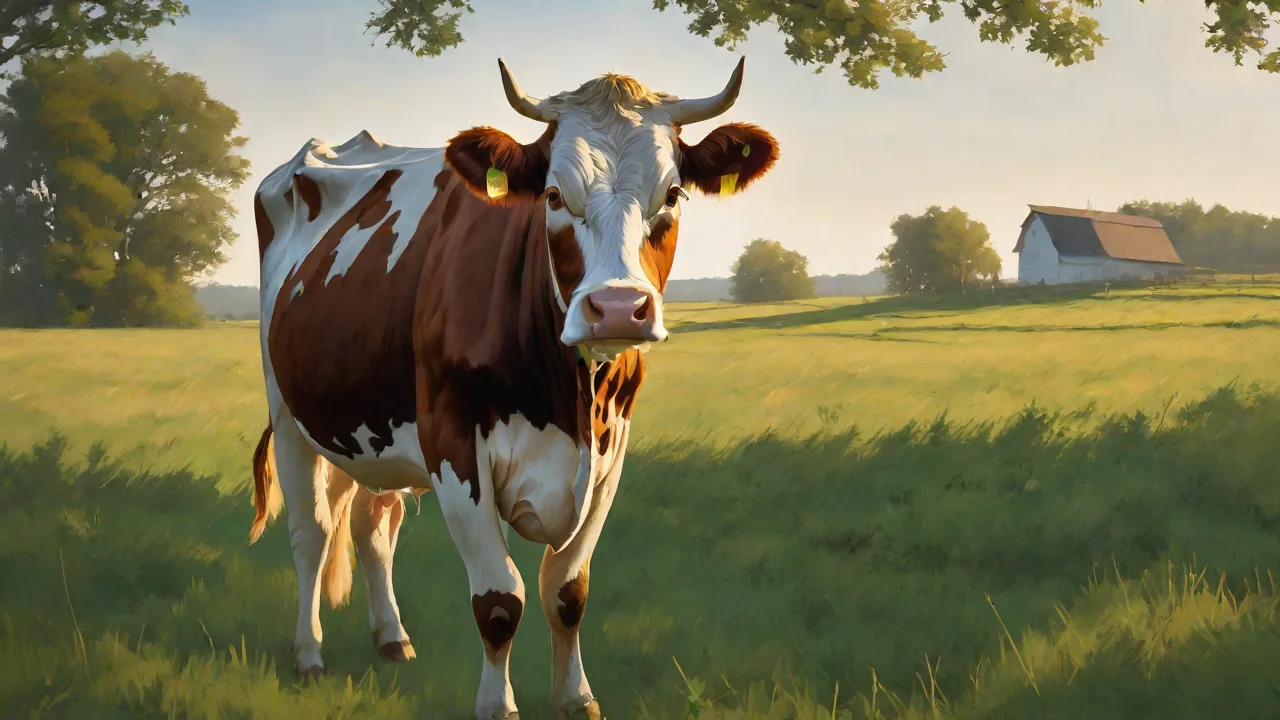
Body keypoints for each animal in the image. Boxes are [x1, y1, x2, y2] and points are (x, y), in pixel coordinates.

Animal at [247, 57, 778, 719]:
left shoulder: (611, 453)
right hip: (289, 414)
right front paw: (497, 705)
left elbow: (567, 592)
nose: (617, 309)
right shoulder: (452, 444)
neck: (568, 399)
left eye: (674, 194)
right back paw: (309, 653)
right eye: (553, 195)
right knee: (311, 533)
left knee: (374, 526)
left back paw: (392, 638)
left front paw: (577, 697)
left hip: (375, 427)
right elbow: (500, 601)